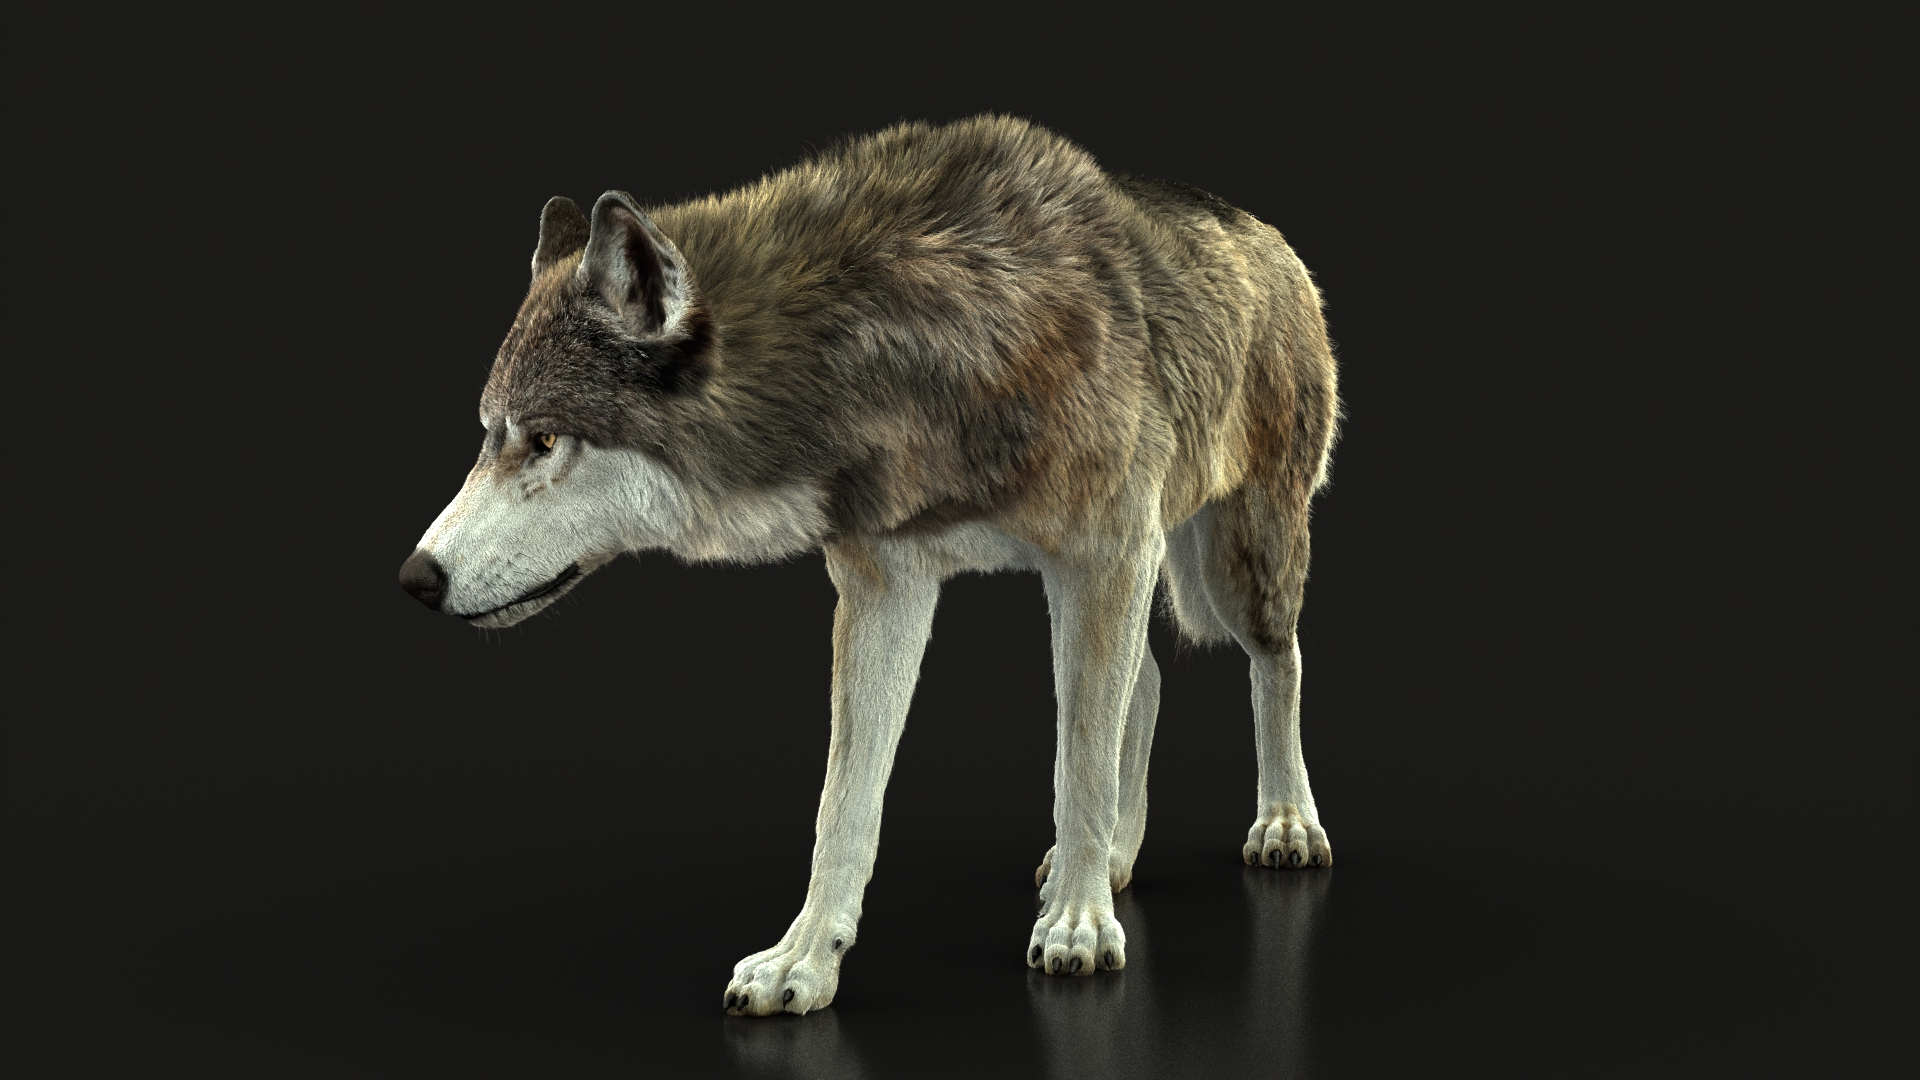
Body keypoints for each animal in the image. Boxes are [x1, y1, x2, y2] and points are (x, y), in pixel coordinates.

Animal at [398, 115, 1341, 1016]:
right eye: (488, 433)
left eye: (544, 440)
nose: (415, 578)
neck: (909, 360)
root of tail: (1274, 241)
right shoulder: (886, 585)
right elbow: (842, 806)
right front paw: (804, 961)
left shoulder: (1106, 550)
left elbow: (1078, 760)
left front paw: (1076, 928)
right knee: (1144, 684)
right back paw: (1114, 856)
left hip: (1227, 565)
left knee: (1276, 661)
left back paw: (1283, 825)